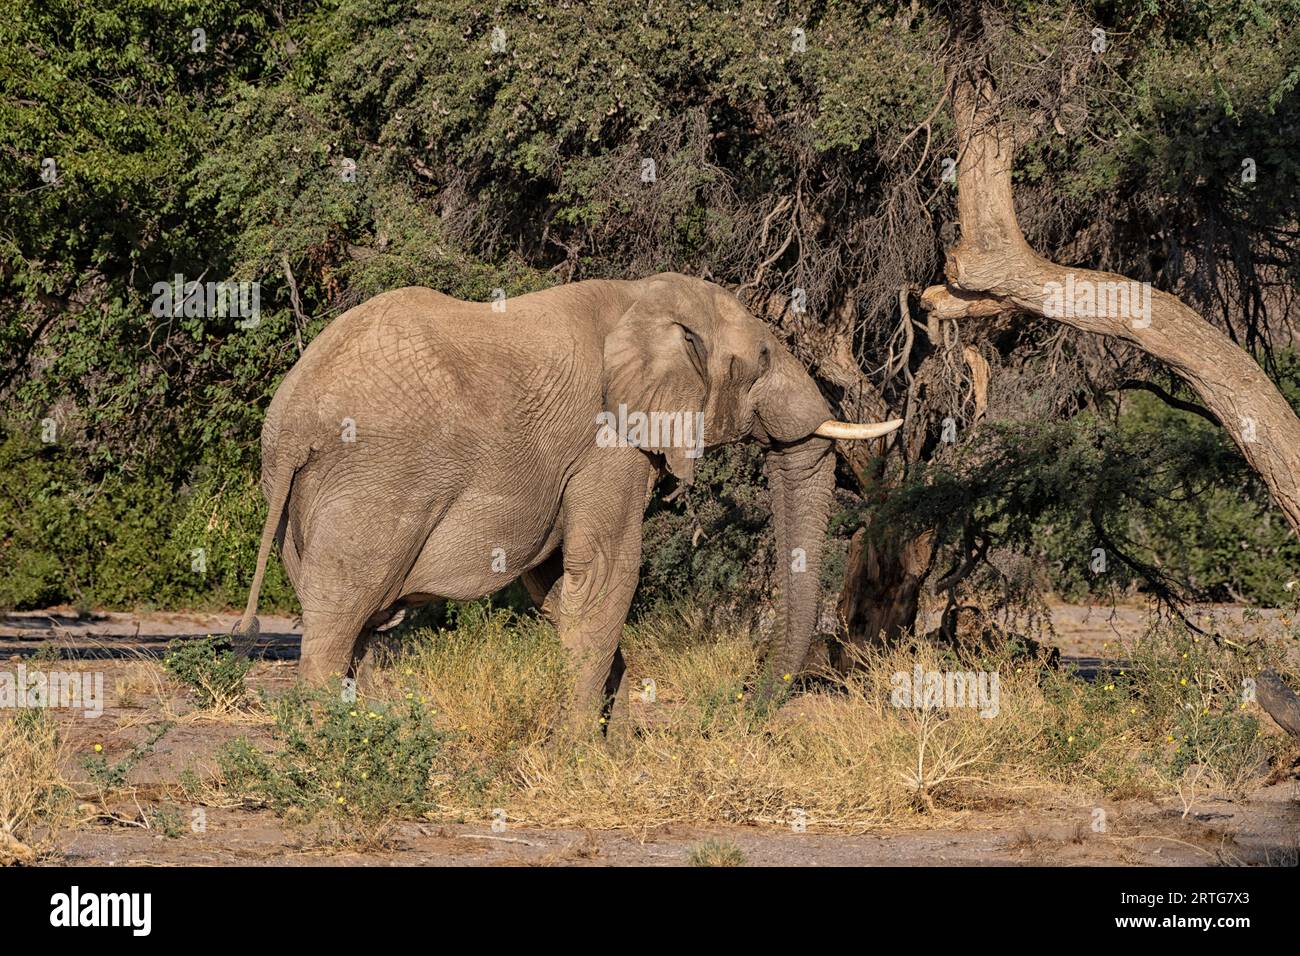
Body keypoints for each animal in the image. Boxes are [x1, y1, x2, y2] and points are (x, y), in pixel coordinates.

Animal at [234, 273, 900, 724]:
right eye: (762, 358)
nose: (743, 709)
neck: (645, 297)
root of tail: (290, 424)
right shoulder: (607, 441)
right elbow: (604, 573)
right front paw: (578, 751)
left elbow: (560, 588)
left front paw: (615, 749)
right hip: (374, 481)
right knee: (341, 621)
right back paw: (331, 742)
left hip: (303, 499)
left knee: (362, 623)